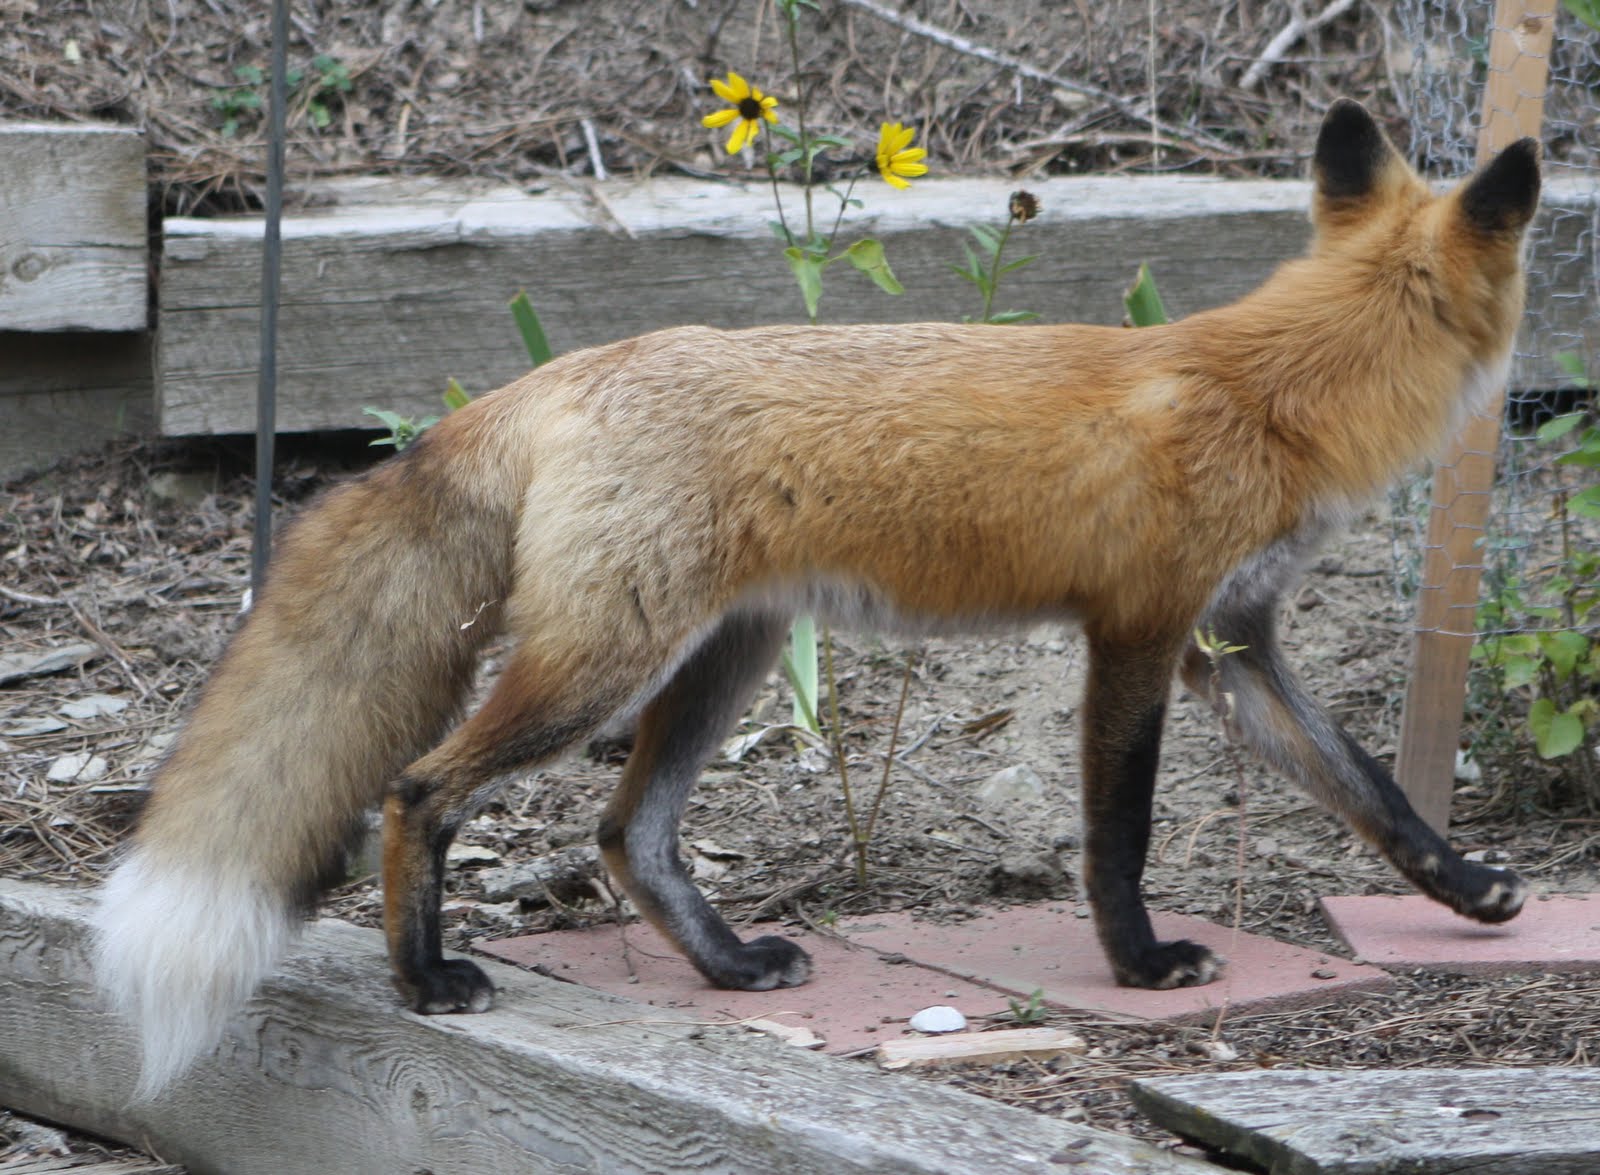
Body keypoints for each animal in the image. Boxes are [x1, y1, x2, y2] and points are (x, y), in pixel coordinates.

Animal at [94, 99, 1541, 1096]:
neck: (1273, 388)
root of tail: (566, 370)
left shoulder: (1233, 646)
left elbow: (1373, 790)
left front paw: (1466, 889)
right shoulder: (1137, 634)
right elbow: (1118, 831)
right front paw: (1140, 963)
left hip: (726, 652)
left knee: (629, 834)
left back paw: (729, 964)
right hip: (605, 664)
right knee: (418, 786)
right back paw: (422, 974)